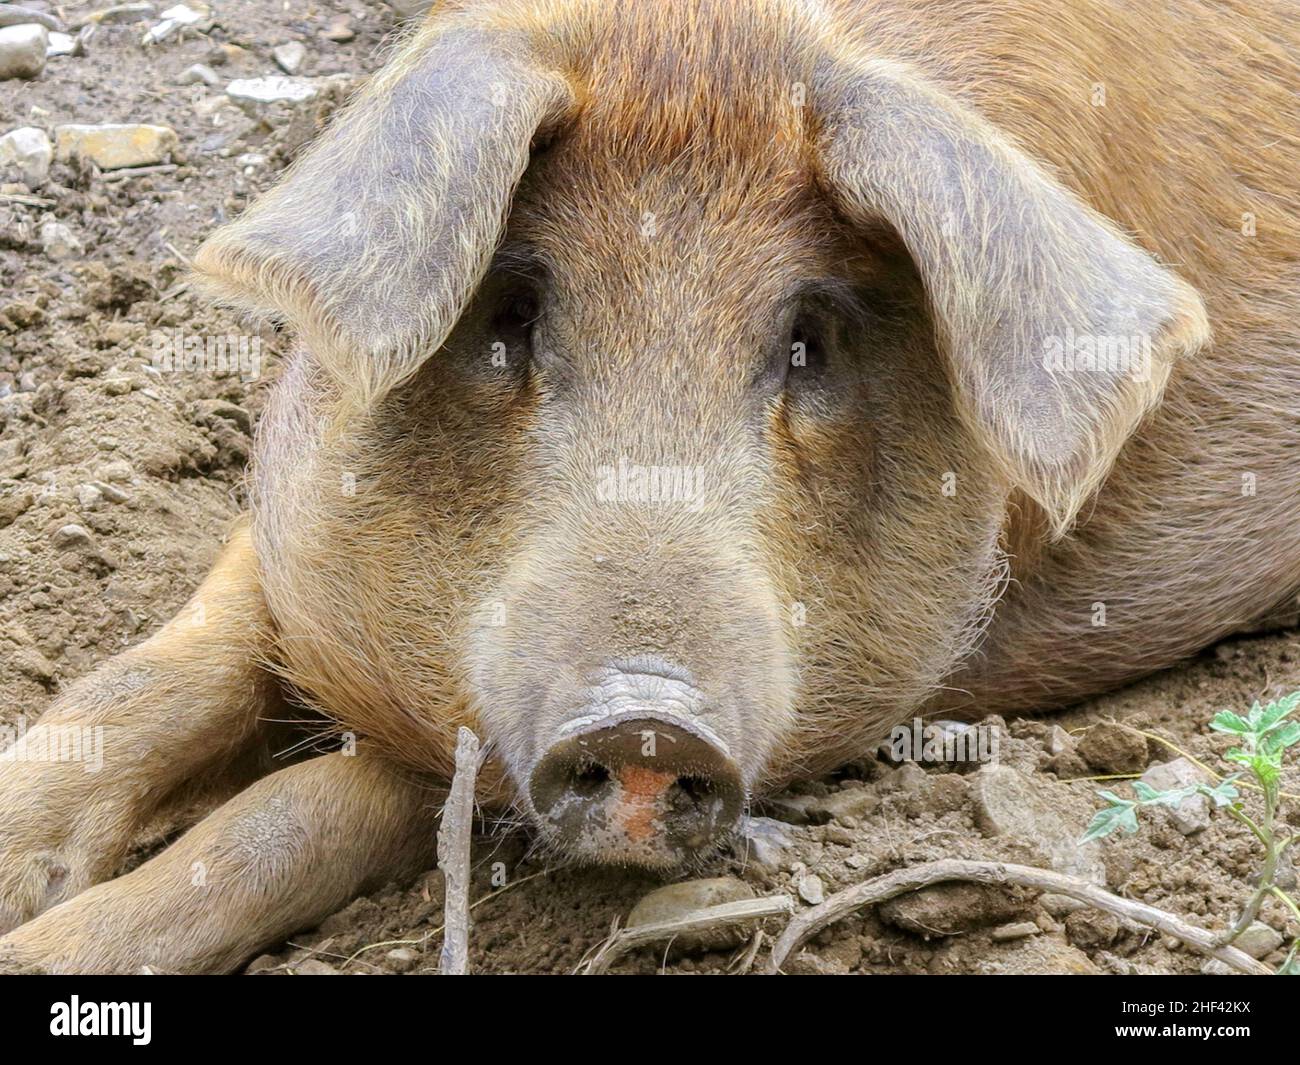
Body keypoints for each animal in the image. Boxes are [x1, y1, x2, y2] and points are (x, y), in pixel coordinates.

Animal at [1, 0, 1297, 973]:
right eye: (511, 317)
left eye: (806, 343)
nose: (646, 713)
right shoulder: (278, 524)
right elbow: (153, 676)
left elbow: (301, 813)